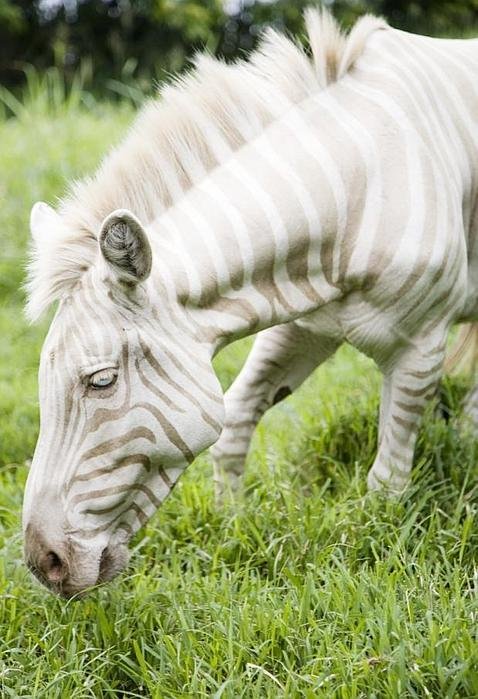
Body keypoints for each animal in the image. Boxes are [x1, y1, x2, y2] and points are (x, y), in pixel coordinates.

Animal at [23, 8, 478, 596]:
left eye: (101, 381)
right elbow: (236, 419)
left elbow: (388, 480)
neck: (357, 194)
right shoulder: (307, 327)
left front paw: (380, 554)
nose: (42, 564)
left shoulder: (420, 348)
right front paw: (229, 521)